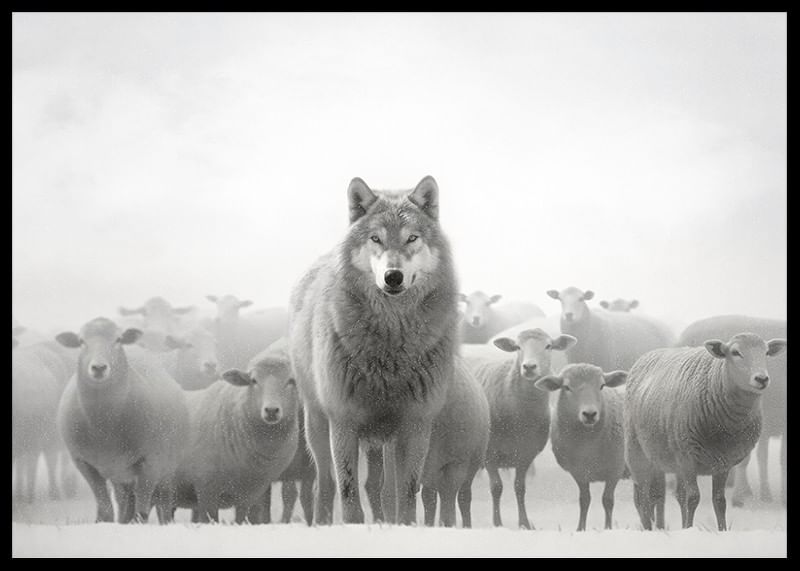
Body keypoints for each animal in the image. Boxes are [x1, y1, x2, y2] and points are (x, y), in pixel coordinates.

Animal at [56, 317, 190, 523]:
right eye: (81, 341)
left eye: (118, 339)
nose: (99, 368)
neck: (103, 426)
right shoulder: (84, 463)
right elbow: (105, 511)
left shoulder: (150, 462)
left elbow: (142, 513)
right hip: (121, 475)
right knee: (124, 503)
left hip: (167, 467)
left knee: (164, 505)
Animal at [174, 343, 300, 523]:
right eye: (253, 380)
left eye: (291, 381)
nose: (271, 410)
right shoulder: (206, 490)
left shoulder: (248, 496)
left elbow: (241, 520)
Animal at [287, 175, 460, 525]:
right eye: (376, 238)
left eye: (411, 238)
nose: (393, 276)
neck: (391, 346)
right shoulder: (343, 421)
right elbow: (348, 492)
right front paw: (356, 530)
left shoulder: (416, 423)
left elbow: (406, 492)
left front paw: (404, 527)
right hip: (317, 425)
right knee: (324, 485)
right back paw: (321, 523)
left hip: (386, 442)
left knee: (384, 489)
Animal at [461, 328, 576, 529]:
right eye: (517, 347)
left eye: (548, 346)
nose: (529, 367)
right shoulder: (490, 453)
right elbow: (496, 487)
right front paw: (497, 522)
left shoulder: (525, 454)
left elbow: (520, 488)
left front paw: (524, 523)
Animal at [535, 364, 628, 531]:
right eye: (566, 387)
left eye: (602, 386)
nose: (590, 414)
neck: (588, 446)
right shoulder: (579, 472)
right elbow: (584, 500)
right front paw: (580, 529)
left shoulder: (615, 470)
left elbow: (607, 501)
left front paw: (608, 528)